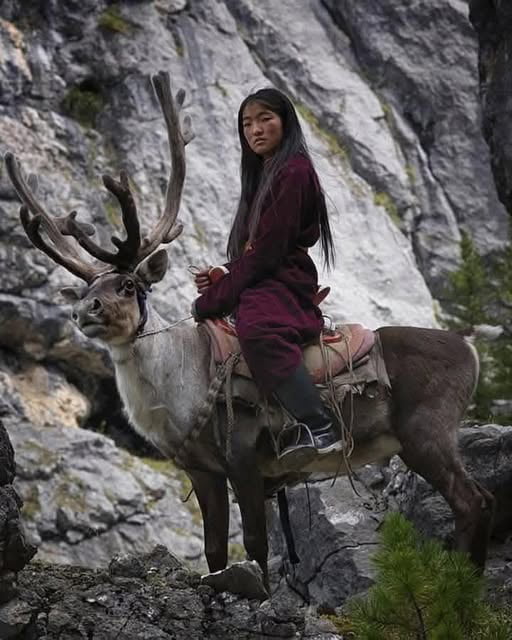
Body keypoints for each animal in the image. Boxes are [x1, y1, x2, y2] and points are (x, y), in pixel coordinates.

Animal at [3, 72, 495, 593]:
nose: (85, 310)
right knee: (479, 500)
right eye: (86, 286)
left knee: (473, 500)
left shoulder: (244, 460)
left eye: (129, 284)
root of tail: (470, 348)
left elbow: (257, 546)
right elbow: (215, 551)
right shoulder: (202, 470)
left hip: (427, 432)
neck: (178, 387)